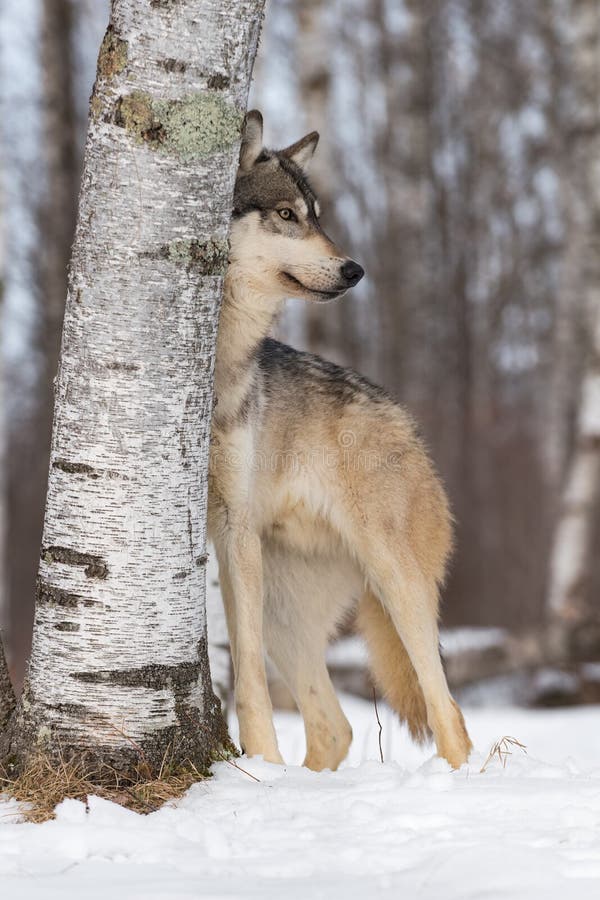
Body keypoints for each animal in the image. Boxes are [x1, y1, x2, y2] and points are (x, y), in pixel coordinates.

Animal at [208, 110, 472, 772]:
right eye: (287, 214)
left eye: (317, 215)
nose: (355, 270)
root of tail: (407, 422)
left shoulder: (231, 526)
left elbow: (246, 678)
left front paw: (260, 761)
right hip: (285, 611)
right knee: (336, 727)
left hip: (396, 586)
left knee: (448, 711)